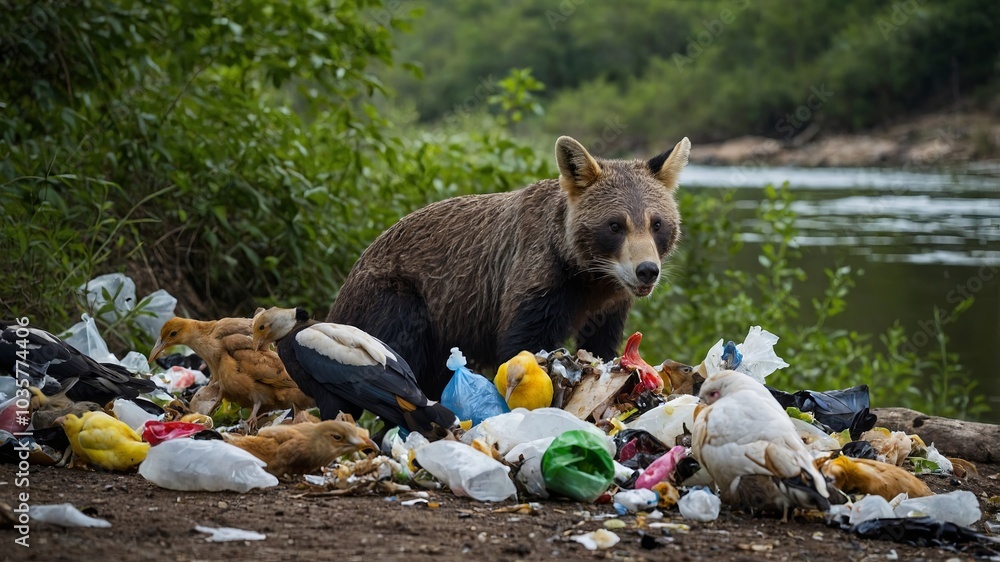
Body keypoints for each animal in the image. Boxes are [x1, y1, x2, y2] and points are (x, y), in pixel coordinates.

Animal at [328, 135, 691, 399]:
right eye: (615, 225)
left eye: (657, 223)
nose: (646, 270)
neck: (587, 273)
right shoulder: (535, 281)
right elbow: (524, 344)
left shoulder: (609, 304)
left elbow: (601, 343)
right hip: (400, 299)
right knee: (398, 351)